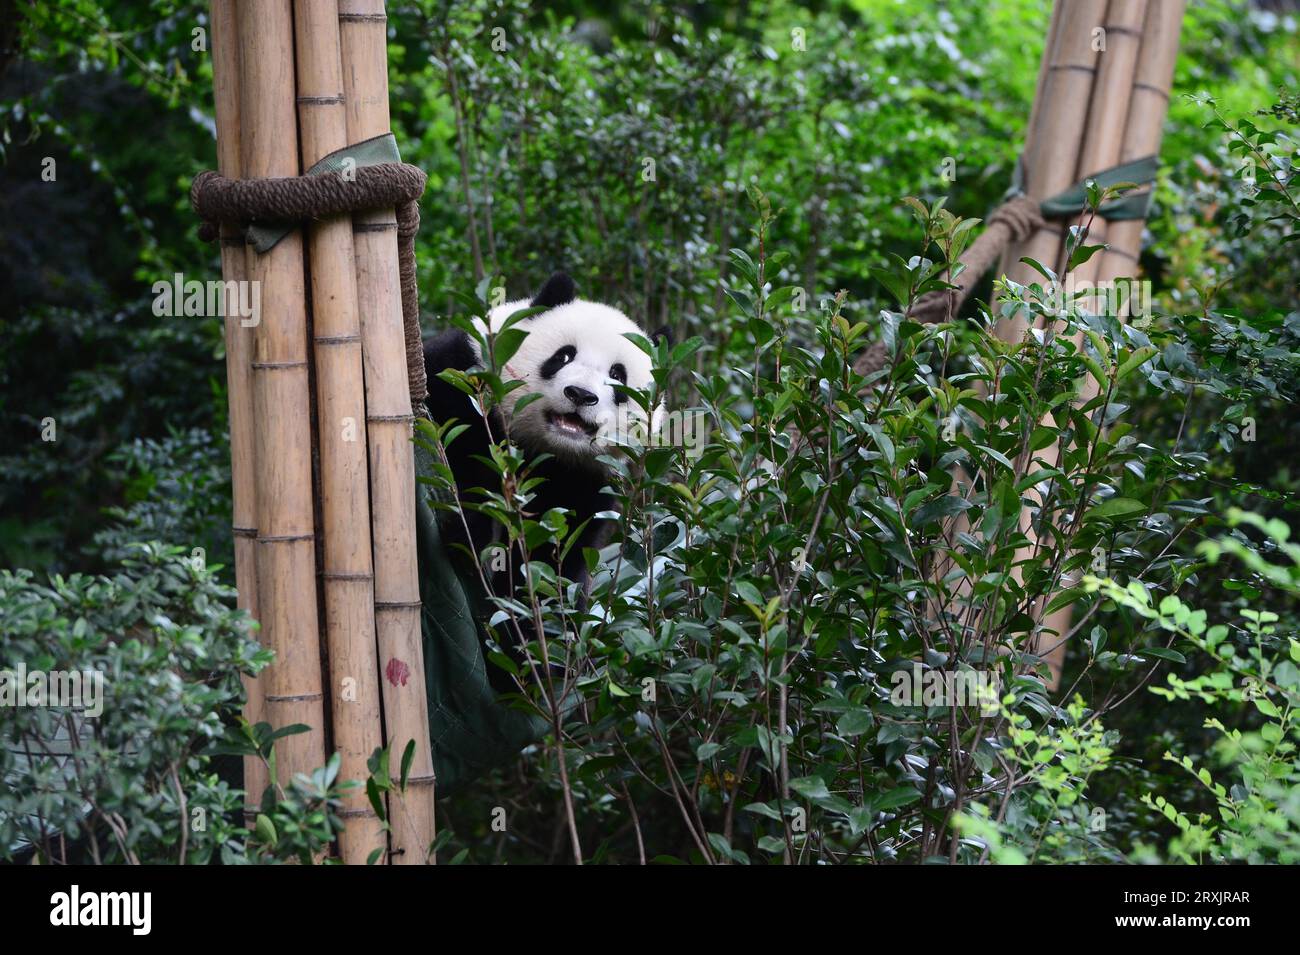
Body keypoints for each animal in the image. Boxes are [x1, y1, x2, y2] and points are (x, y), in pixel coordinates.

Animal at [423, 271, 661, 679]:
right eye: (563, 355)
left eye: (618, 376)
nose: (580, 394)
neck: (545, 449)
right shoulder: (461, 376)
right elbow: (461, 449)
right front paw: (472, 537)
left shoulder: (584, 482)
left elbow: (554, 559)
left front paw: (539, 647)